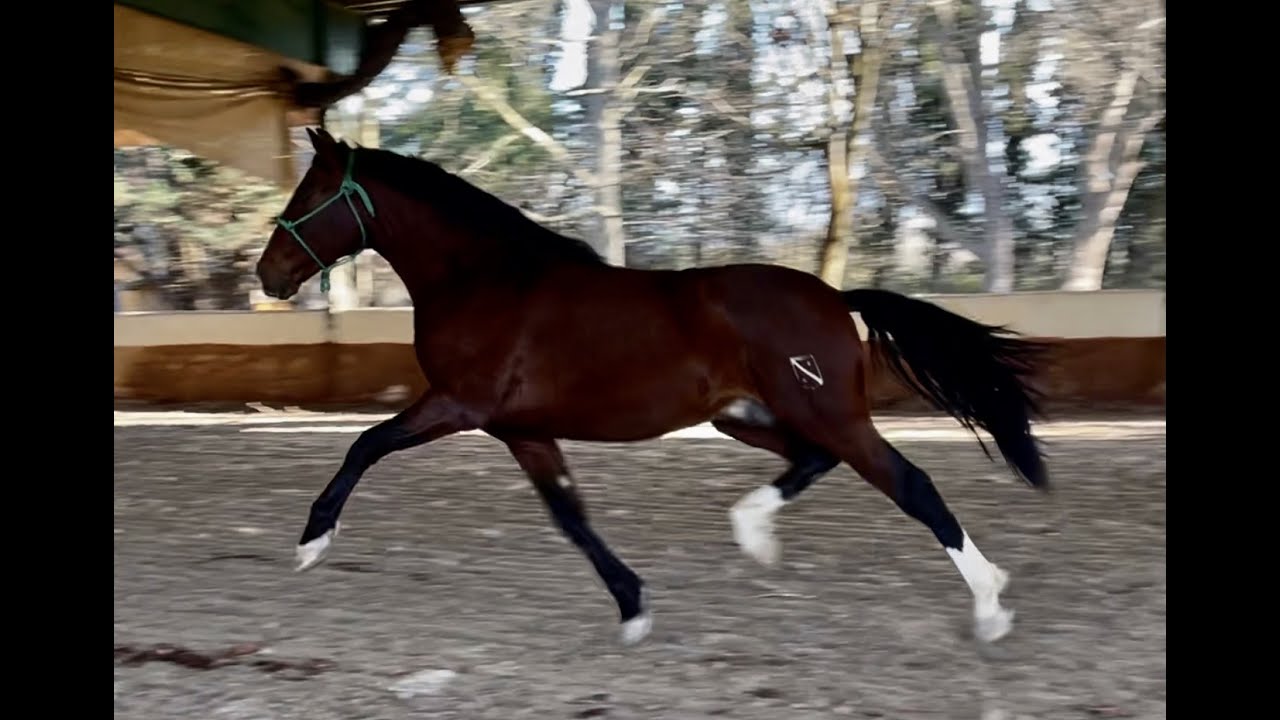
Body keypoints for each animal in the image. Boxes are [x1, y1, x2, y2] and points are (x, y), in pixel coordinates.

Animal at [256, 128, 1050, 646]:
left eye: (313, 191)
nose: (268, 275)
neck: (487, 279)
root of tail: (833, 295)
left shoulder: (460, 404)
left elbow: (366, 443)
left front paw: (312, 540)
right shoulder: (523, 430)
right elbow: (570, 517)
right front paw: (633, 606)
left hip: (827, 413)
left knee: (911, 484)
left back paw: (991, 606)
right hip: (745, 415)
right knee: (812, 460)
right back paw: (753, 532)